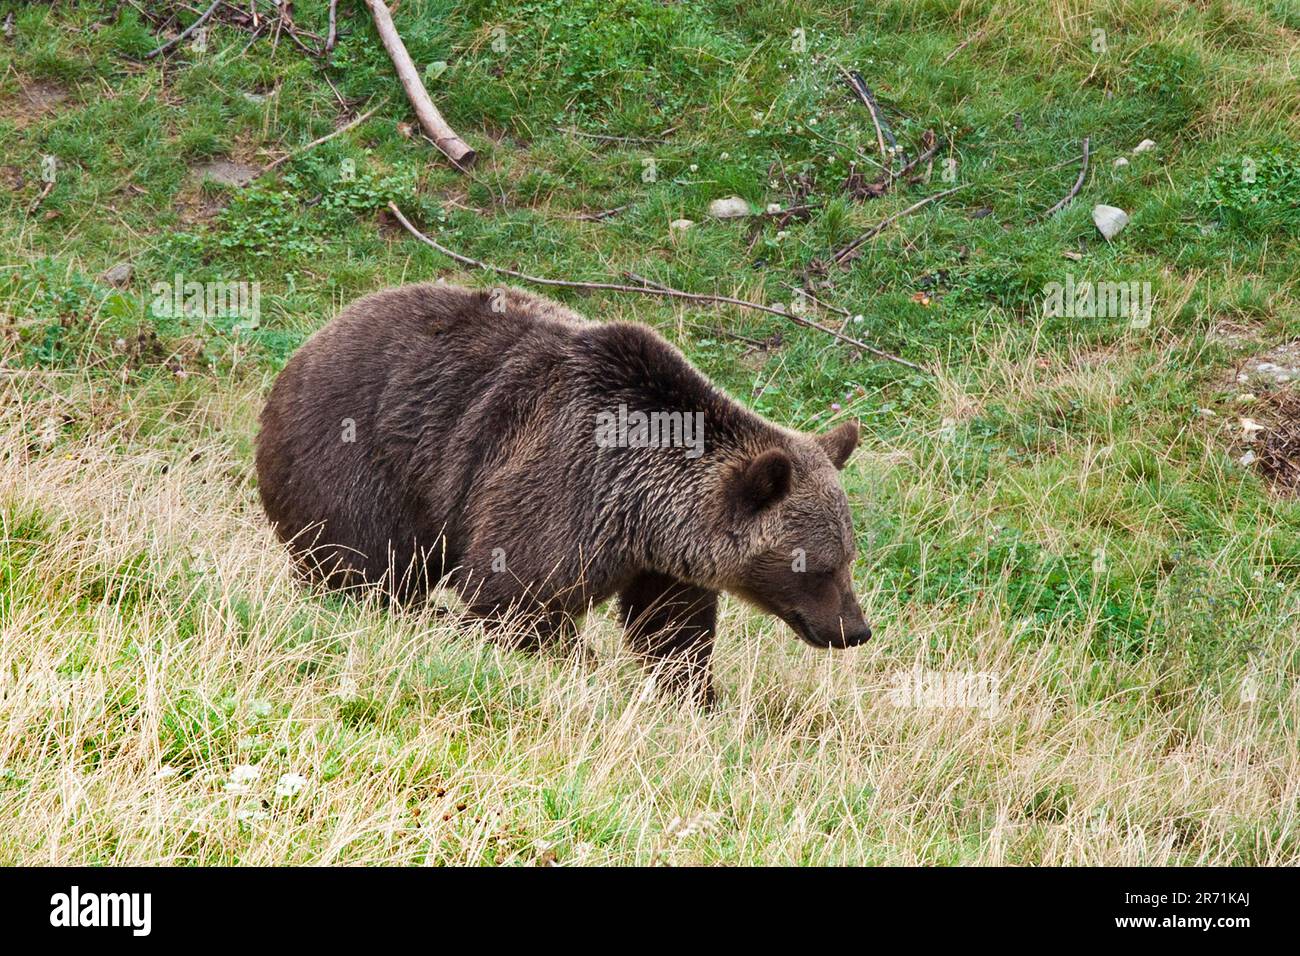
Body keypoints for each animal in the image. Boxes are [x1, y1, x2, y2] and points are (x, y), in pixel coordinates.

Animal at [255, 283, 871, 704]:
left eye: (847, 558)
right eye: (813, 565)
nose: (853, 630)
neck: (641, 512)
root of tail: (310, 345)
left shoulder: (663, 556)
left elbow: (671, 629)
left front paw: (694, 694)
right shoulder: (561, 490)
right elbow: (515, 598)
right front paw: (586, 664)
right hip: (362, 464)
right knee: (367, 570)